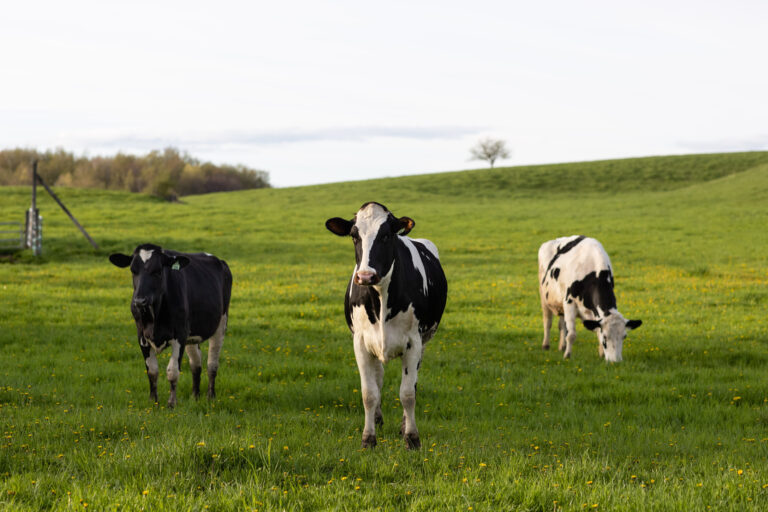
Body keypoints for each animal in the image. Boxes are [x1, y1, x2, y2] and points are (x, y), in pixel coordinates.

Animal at [109, 244, 232, 408]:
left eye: (158, 271)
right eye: (133, 271)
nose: (140, 301)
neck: (154, 318)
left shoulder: (179, 336)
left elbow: (172, 371)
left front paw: (171, 403)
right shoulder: (142, 336)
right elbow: (152, 371)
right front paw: (153, 401)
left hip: (221, 324)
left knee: (212, 363)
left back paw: (210, 396)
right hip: (191, 334)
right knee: (196, 363)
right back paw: (195, 396)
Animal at [325, 202, 447, 449]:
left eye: (386, 235)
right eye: (354, 236)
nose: (365, 276)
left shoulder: (414, 342)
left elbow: (408, 393)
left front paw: (412, 437)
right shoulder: (360, 342)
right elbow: (369, 392)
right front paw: (368, 438)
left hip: (424, 342)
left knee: (412, 384)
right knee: (379, 377)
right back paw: (378, 418)